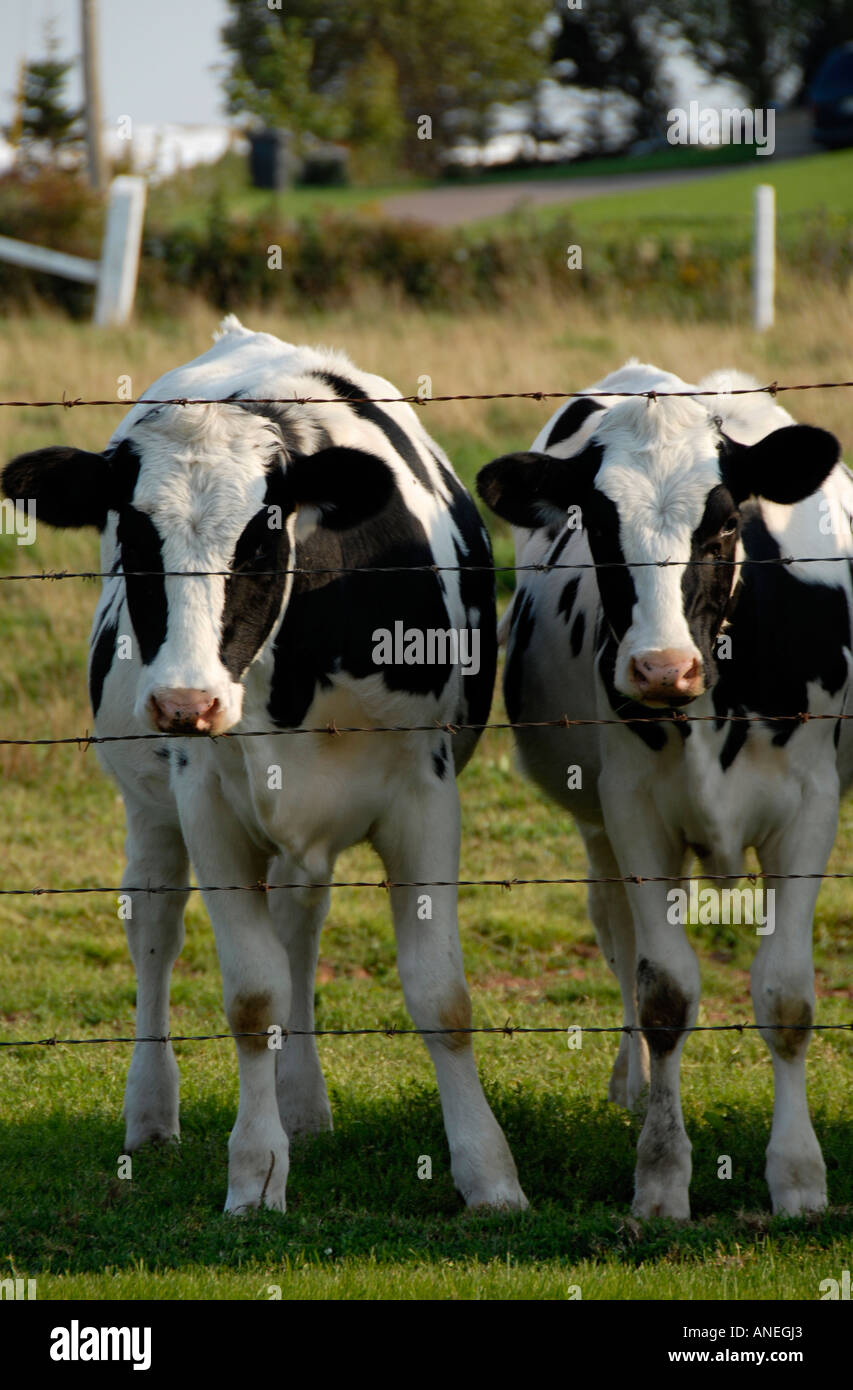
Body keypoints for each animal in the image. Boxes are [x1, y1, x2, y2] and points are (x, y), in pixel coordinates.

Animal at [2, 316, 526, 1215]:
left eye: (262, 534)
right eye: (133, 535)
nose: (186, 701)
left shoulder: (425, 794)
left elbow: (440, 996)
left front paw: (488, 1176)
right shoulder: (207, 802)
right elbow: (251, 997)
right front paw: (254, 1174)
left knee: (299, 929)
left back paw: (304, 1103)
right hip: (152, 809)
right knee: (155, 929)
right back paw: (152, 1113)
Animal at [477, 361, 852, 1220]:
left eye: (720, 527)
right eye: (596, 529)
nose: (658, 669)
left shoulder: (808, 810)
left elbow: (786, 998)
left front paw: (797, 1178)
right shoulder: (635, 812)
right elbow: (662, 996)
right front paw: (659, 1177)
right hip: (598, 828)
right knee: (617, 934)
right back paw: (633, 1087)